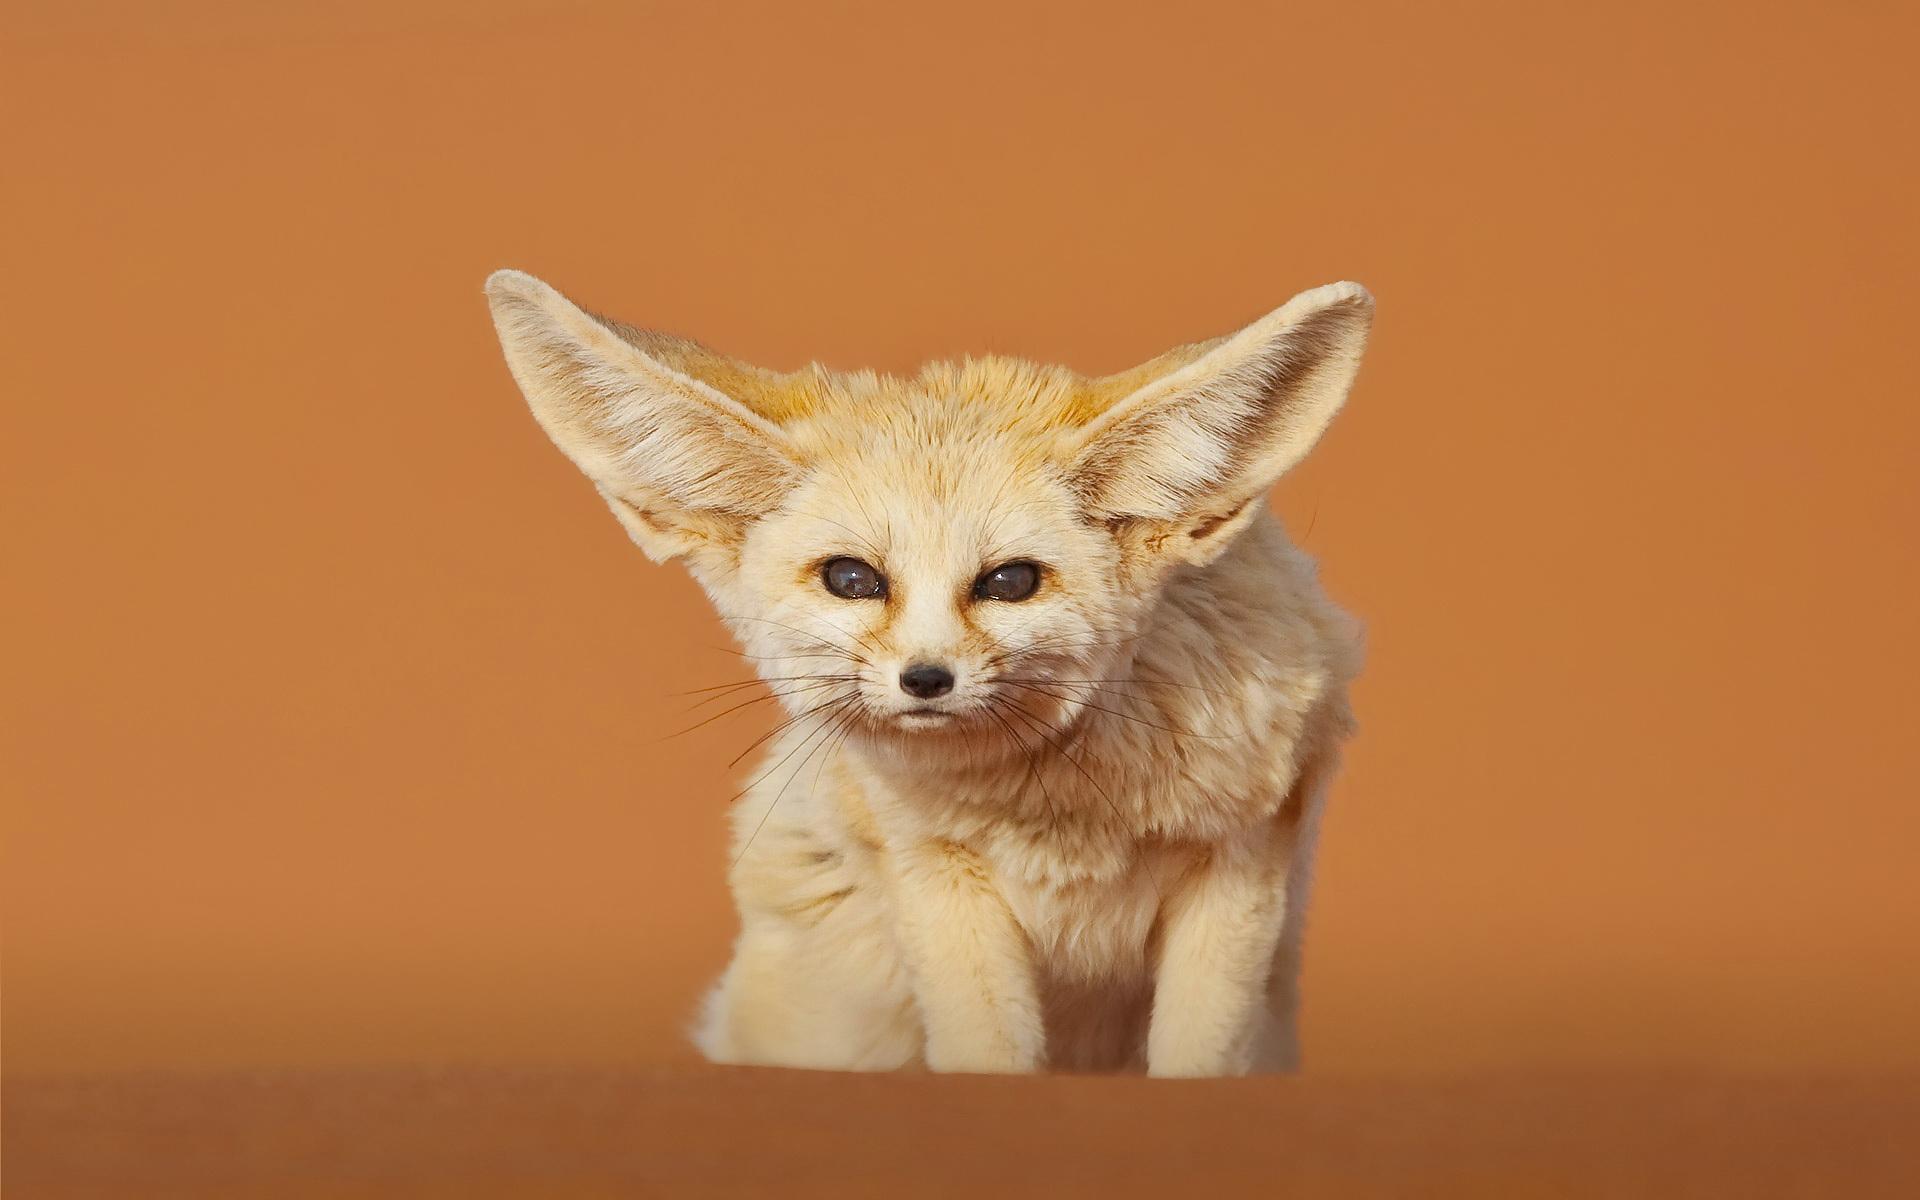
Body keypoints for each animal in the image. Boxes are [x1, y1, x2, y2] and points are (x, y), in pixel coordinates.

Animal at [485, 269, 1371, 1076]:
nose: (925, 679)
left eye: (1010, 581)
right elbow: (985, 1051)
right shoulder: (935, 873)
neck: (1066, 810)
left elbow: (1198, 1057)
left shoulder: (1244, 860)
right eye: (851, 579)